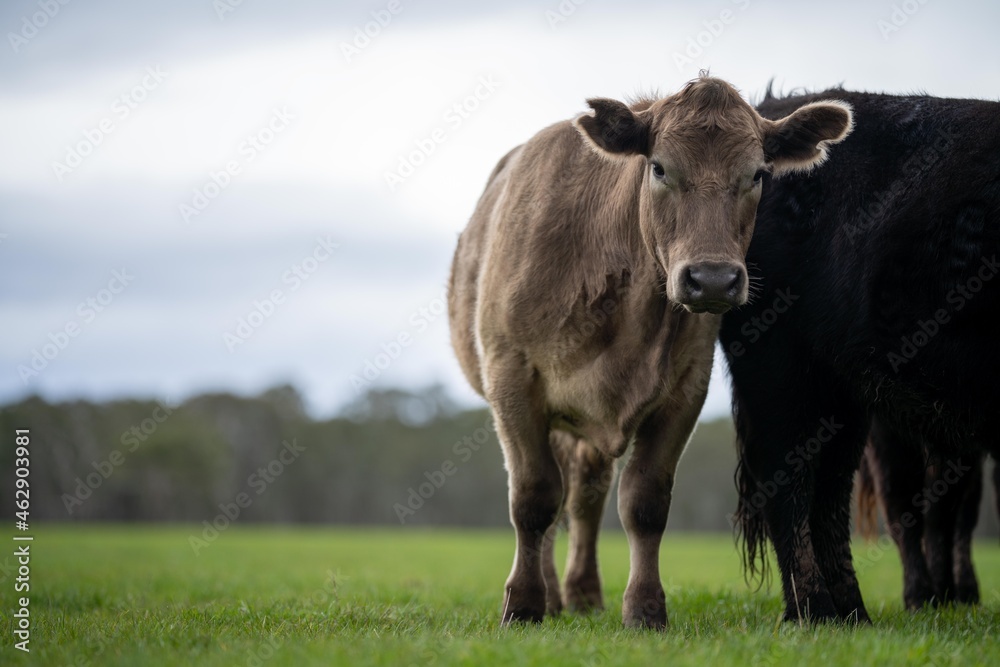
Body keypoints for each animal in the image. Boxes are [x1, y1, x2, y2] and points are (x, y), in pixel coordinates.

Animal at [448, 75, 853, 629]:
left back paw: (582, 593)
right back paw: (550, 595)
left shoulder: (685, 389)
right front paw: (524, 605)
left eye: (757, 174)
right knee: (557, 499)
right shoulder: (510, 376)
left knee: (585, 497)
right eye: (659, 167)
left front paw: (644, 609)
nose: (712, 278)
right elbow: (533, 497)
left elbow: (644, 502)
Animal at [856, 423, 997, 609]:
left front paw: (940, 592)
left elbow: (942, 513)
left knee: (959, 513)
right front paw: (922, 599)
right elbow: (901, 504)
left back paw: (960, 592)